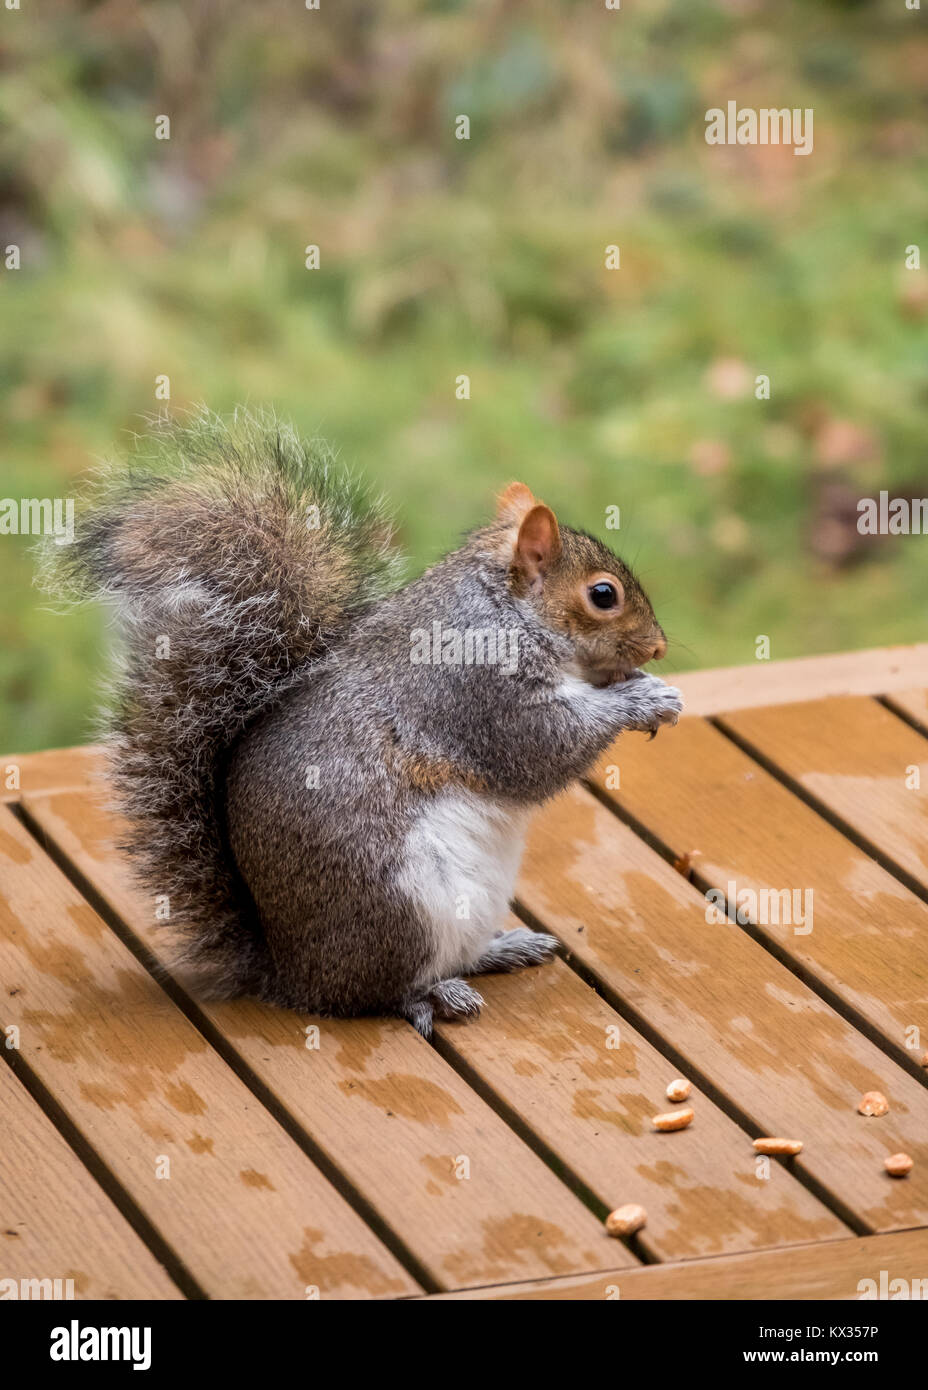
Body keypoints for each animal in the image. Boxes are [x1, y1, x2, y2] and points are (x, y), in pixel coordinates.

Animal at [53, 408, 682, 1035]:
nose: (658, 648)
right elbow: (543, 749)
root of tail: (292, 974)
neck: (504, 610)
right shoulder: (479, 693)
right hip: (403, 906)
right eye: (603, 594)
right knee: (379, 993)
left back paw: (503, 949)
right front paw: (644, 700)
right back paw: (432, 995)